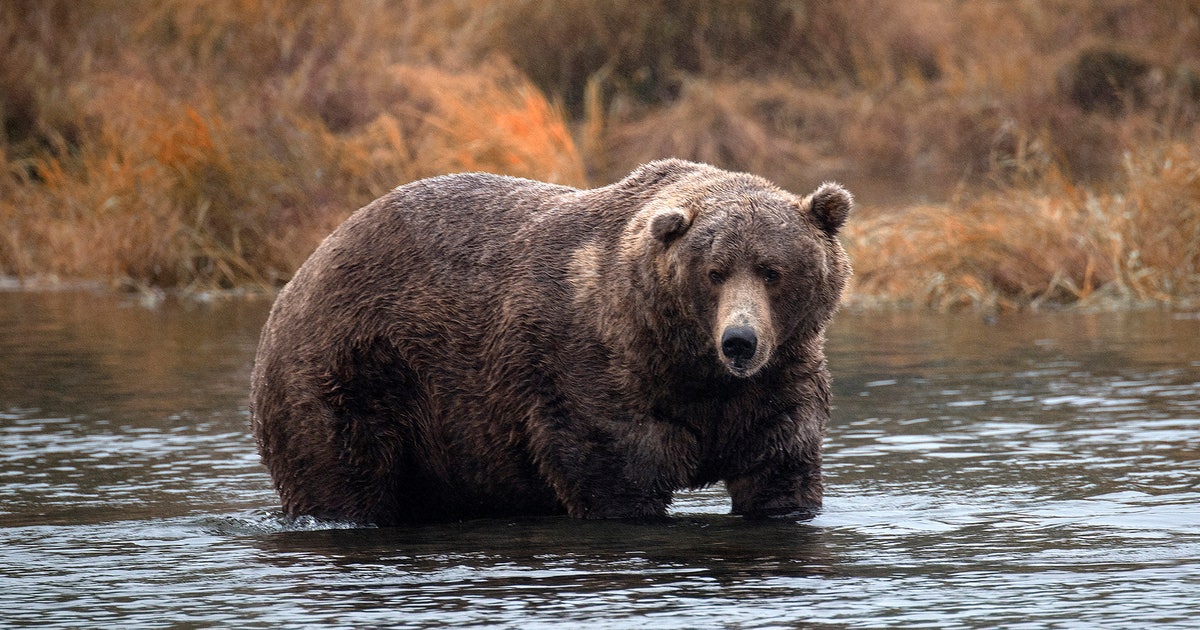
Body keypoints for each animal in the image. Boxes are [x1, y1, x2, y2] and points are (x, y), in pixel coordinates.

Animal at [250, 159, 852, 525]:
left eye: (772, 270)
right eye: (714, 272)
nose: (740, 341)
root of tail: (300, 274)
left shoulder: (775, 383)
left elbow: (778, 467)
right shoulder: (595, 376)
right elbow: (617, 475)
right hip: (355, 374)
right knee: (343, 474)